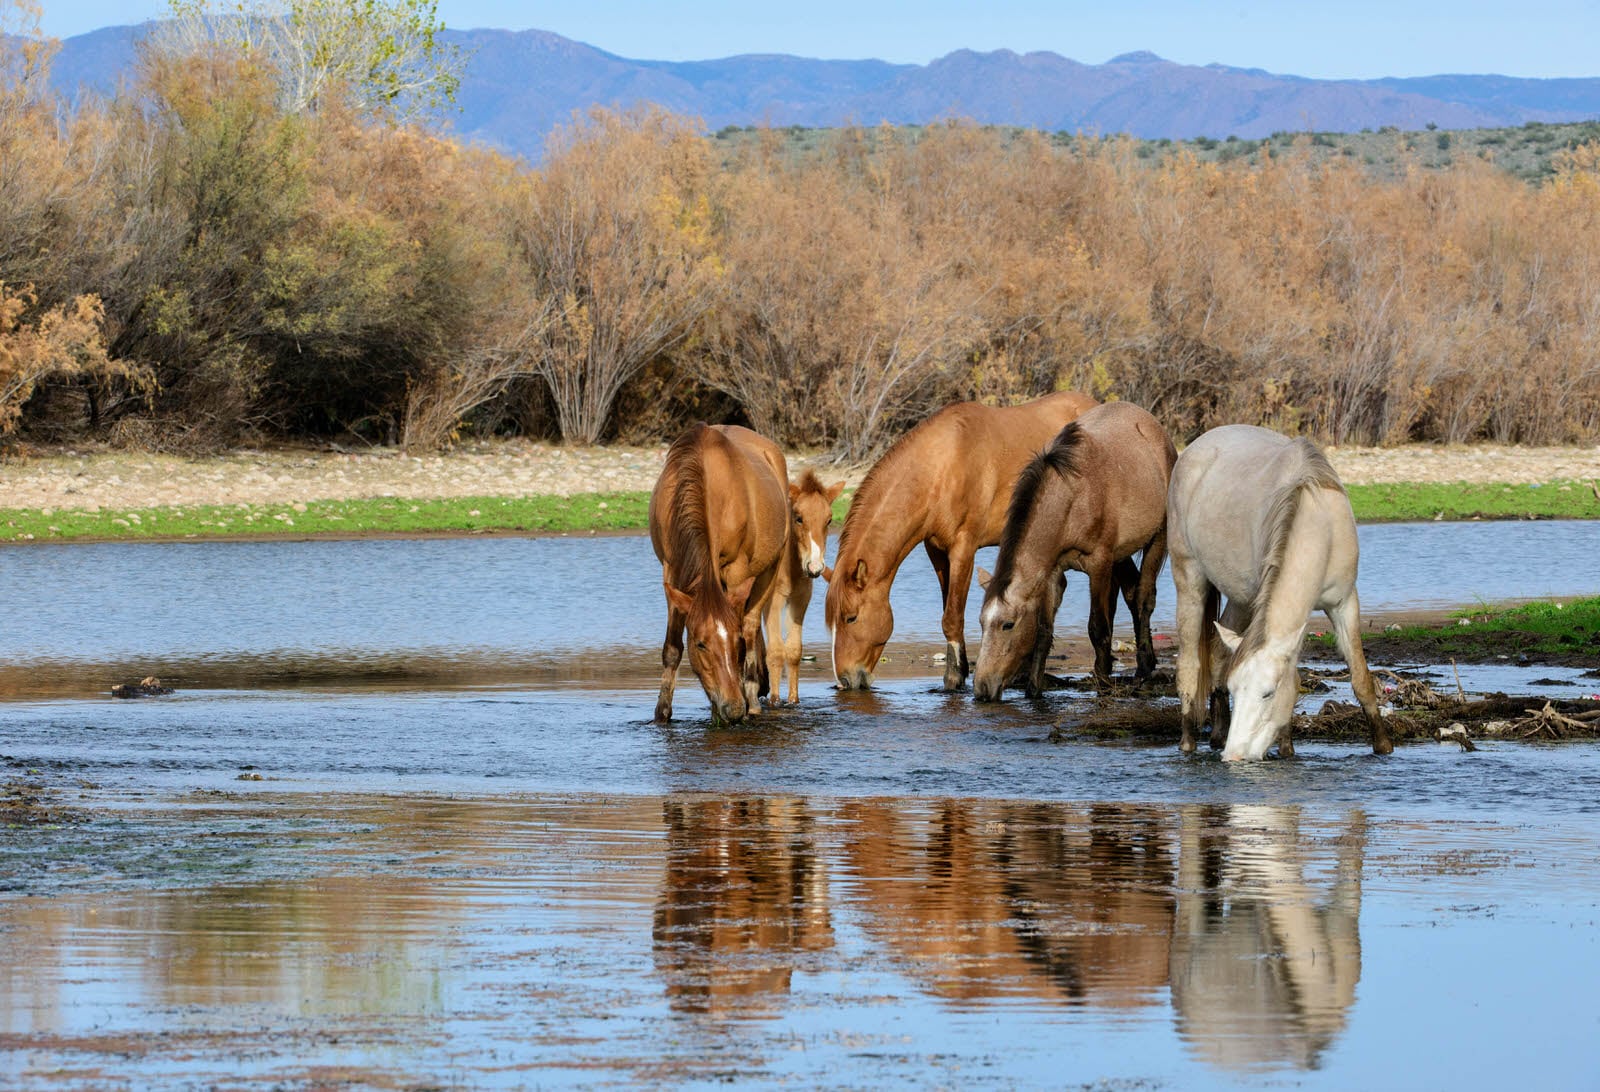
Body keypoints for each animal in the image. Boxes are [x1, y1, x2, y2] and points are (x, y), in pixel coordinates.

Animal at [649, 424, 789, 724]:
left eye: (735, 643)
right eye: (700, 644)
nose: (733, 708)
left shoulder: (737, 570)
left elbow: (744, 629)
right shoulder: (673, 568)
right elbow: (672, 647)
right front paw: (662, 713)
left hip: (770, 567)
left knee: (751, 623)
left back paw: (752, 696)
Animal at [763, 470, 845, 704]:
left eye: (829, 520)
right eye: (798, 518)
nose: (815, 567)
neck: (790, 569)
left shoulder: (800, 600)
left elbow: (794, 650)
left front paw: (793, 700)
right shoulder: (773, 601)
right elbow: (775, 650)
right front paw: (774, 700)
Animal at [825, 390, 1098, 691]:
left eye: (851, 617)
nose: (844, 680)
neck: (940, 469)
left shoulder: (963, 549)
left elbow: (953, 617)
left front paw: (954, 677)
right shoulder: (937, 551)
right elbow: (948, 611)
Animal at [971, 401, 1176, 701]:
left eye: (1007, 624)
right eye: (981, 622)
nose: (982, 689)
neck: (1071, 498)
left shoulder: (1099, 562)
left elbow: (1097, 627)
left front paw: (1103, 682)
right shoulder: (1053, 572)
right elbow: (1044, 630)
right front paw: (1034, 690)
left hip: (1157, 538)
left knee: (1142, 598)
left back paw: (1143, 667)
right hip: (1121, 554)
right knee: (1129, 593)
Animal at [1166, 425, 1394, 760]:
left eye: (1267, 693)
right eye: (1237, 690)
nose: (1234, 756)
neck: (1319, 527)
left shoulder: (1344, 603)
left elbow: (1360, 676)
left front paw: (1382, 745)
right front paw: (1286, 746)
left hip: (1241, 599)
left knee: (1219, 651)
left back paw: (1219, 733)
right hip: (1190, 580)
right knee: (1189, 664)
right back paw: (1187, 740)